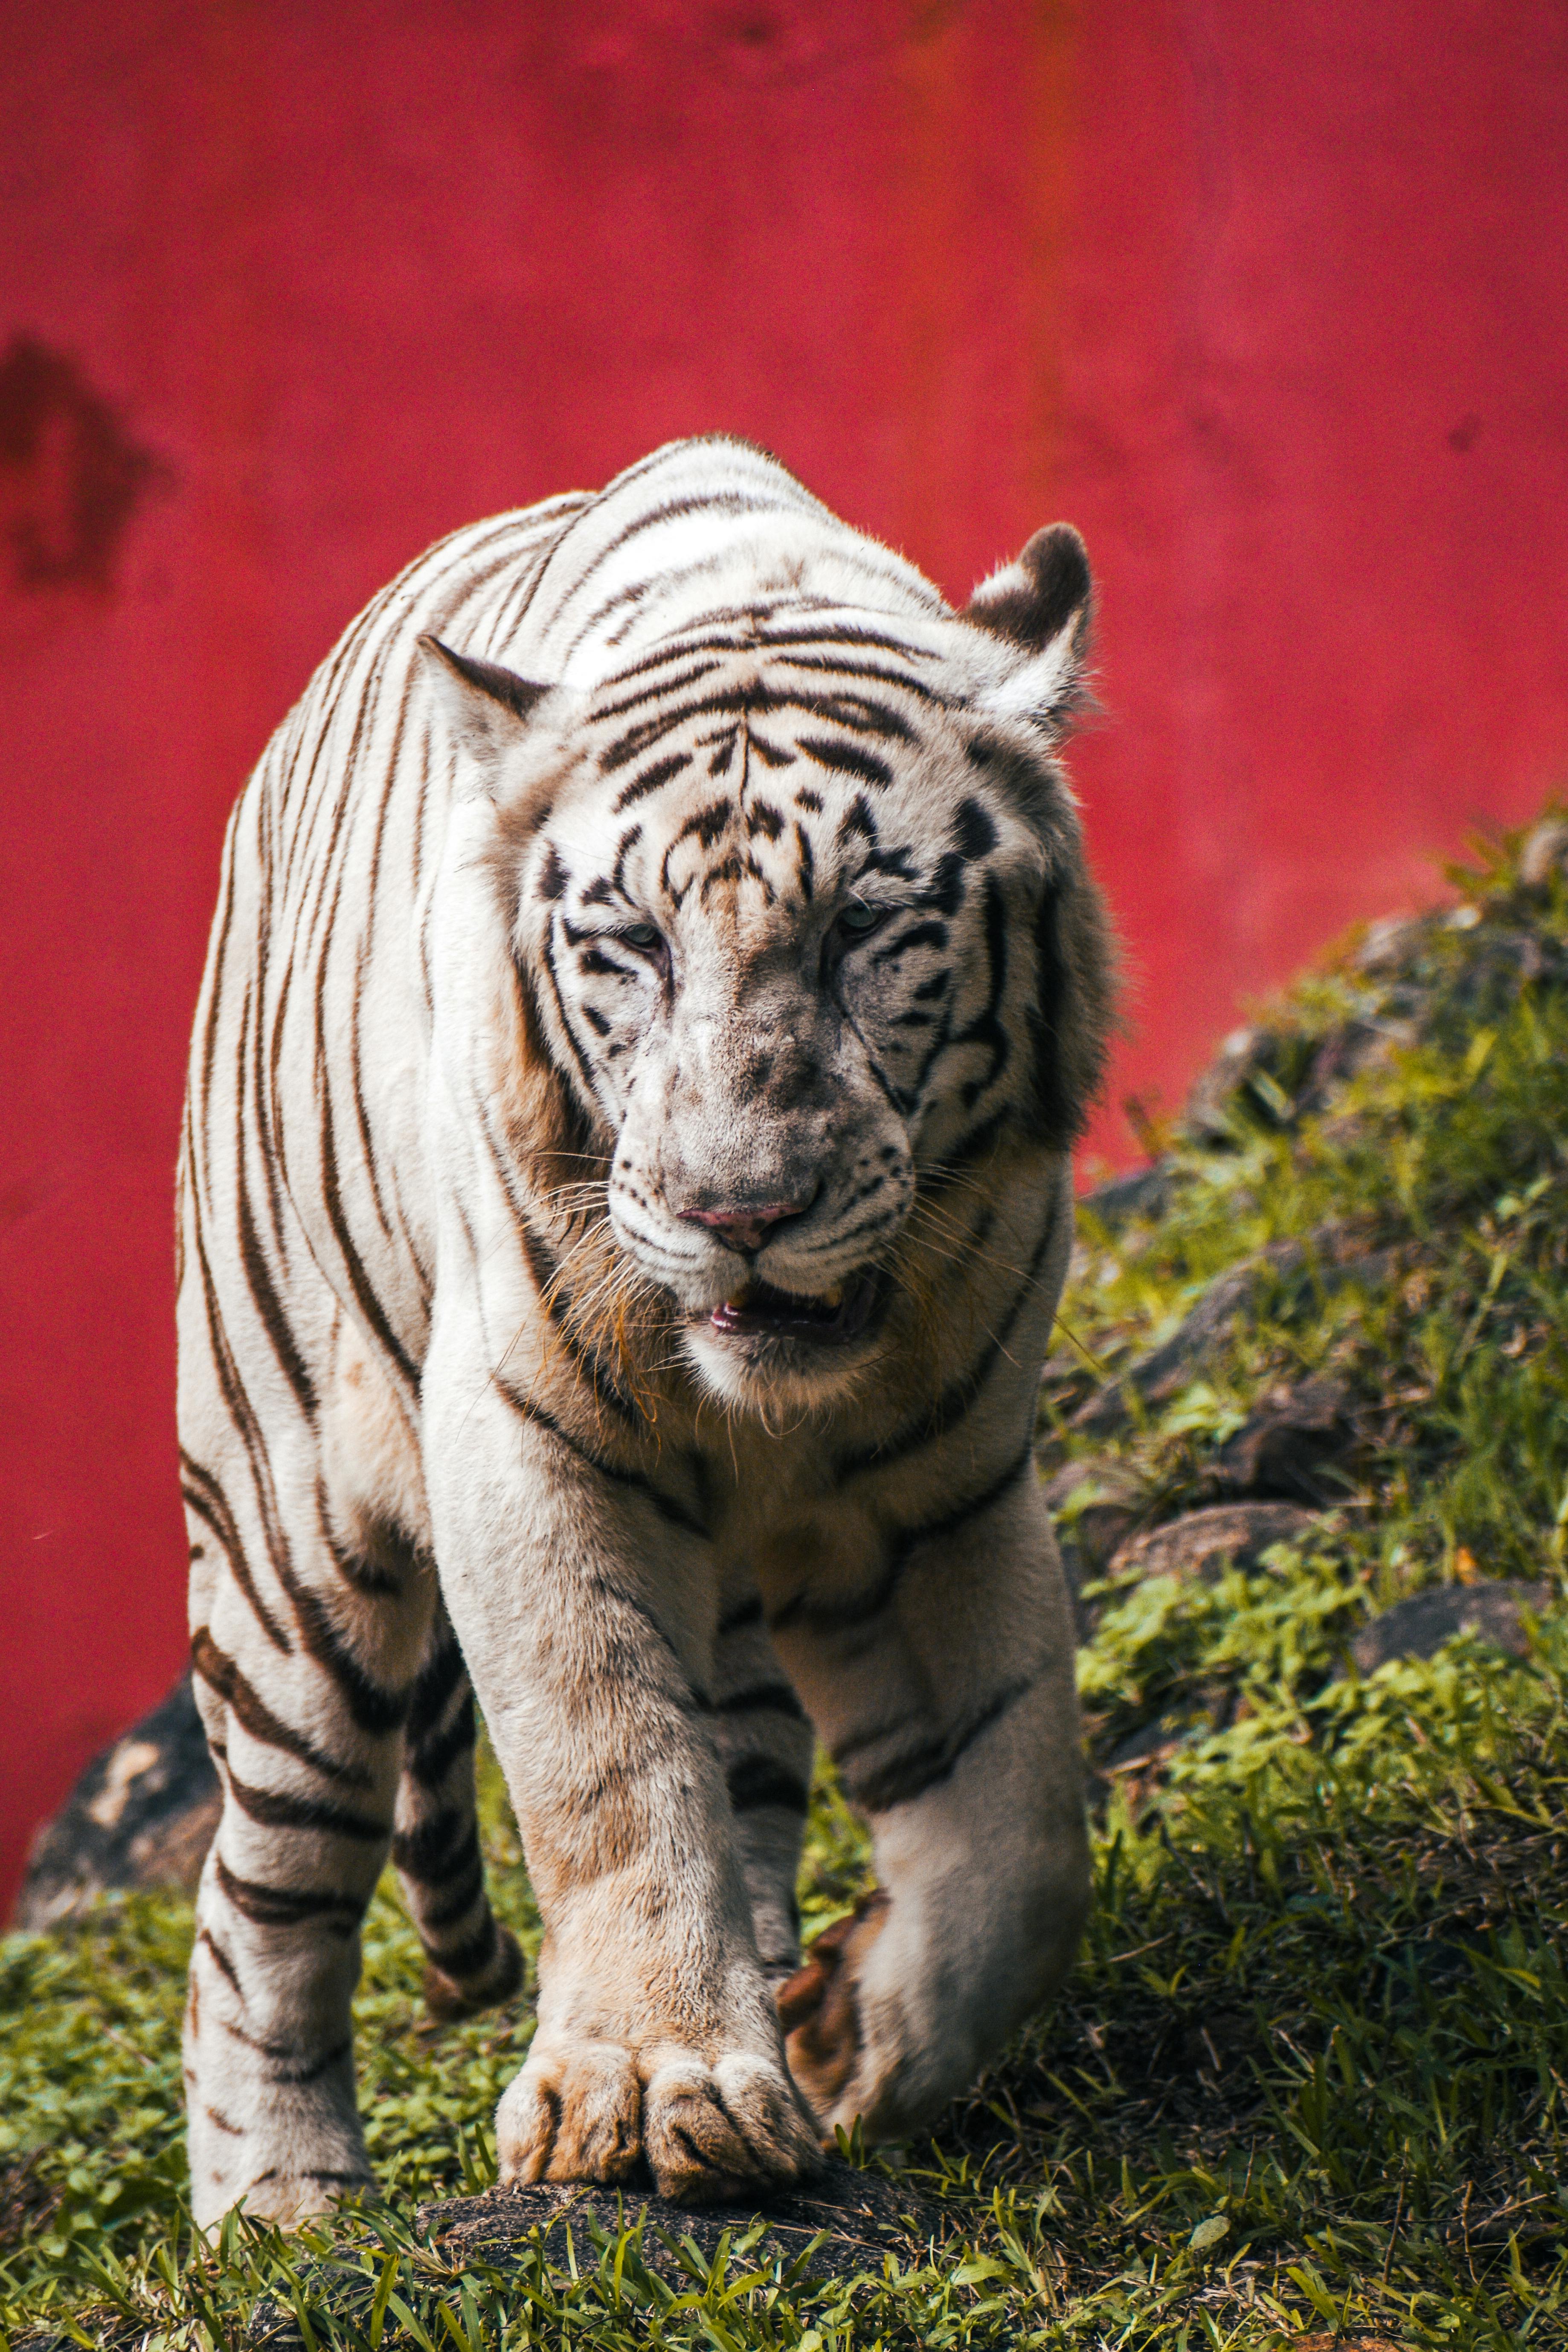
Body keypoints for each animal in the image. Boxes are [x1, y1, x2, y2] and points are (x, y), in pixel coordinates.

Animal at [177, 434, 1113, 2229]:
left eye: (862, 927)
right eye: (629, 945)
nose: (736, 1207)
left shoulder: (947, 1485)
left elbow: (1023, 1834)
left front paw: (857, 2046)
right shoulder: (524, 1443)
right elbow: (607, 1763)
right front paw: (645, 2087)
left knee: (737, 1766)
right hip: (291, 1571)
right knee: (253, 1911)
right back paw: (279, 2212)